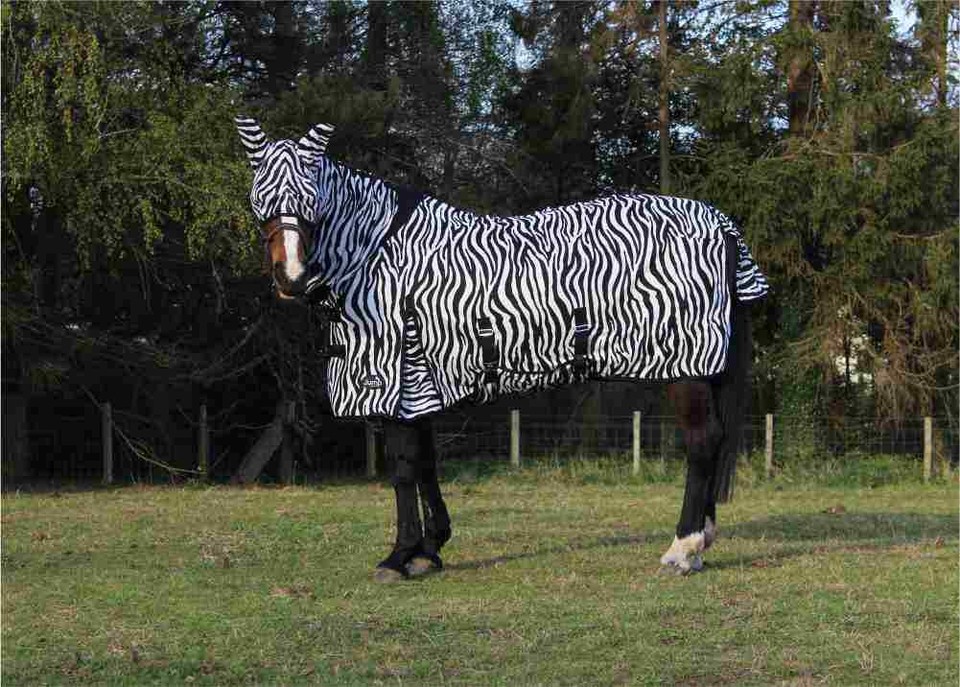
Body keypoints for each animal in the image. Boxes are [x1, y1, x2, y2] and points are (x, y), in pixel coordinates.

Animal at [235, 117, 768, 580]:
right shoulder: (420, 383)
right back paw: (702, 543)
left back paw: (683, 548)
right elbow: (426, 463)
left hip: (686, 369)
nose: (292, 277)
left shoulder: (394, 381)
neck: (381, 255)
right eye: (260, 197)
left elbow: (403, 468)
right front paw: (429, 550)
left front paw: (399, 556)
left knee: (702, 442)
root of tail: (719, 224)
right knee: (714, 441)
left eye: (312, 199)